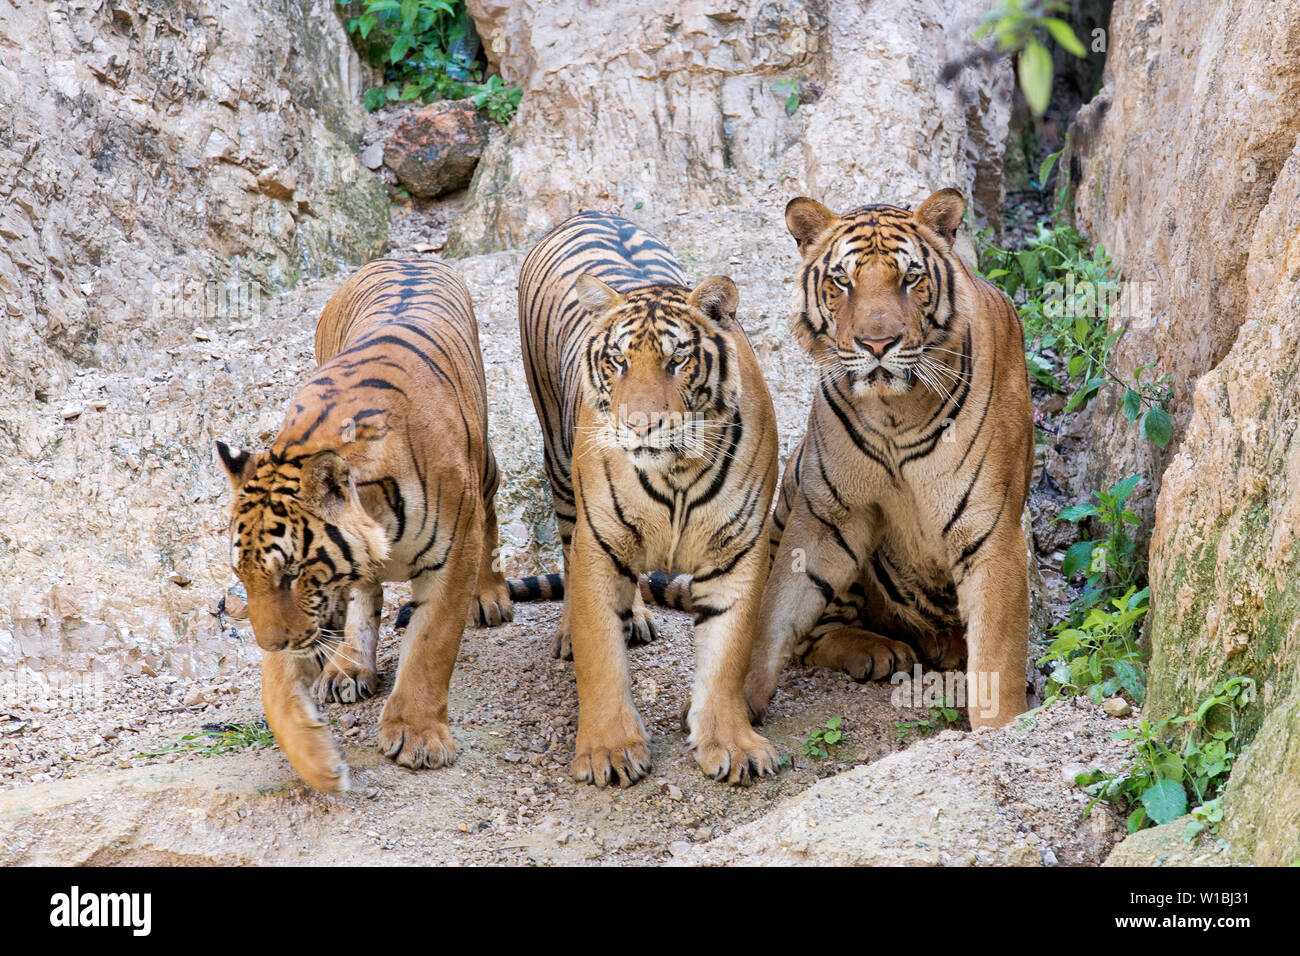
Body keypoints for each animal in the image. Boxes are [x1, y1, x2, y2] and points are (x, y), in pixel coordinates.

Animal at [216, 256, 513, 791]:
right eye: (242, 576)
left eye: (293, 573)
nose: (270, 642)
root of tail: (406, 255)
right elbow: (277, 690)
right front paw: (318, 761)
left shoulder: (455, 552)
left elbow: (431, 644)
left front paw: (417, 735)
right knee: (363, 597)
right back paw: (347, 667)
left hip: (483, 466)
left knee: (491, 513)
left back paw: (490, 597)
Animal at [518, 210, 780, 787]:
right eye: (617, 361)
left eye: (677, 359)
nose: (639, 425)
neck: (677, 470)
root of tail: (587, 211)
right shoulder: (598, 542)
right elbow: (600, 654)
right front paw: (609, 751)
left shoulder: (738, 549)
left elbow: (727, 655)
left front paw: (732, 744)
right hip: (559, 468)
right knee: (568, 554)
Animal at [743, 189, 1034, 730]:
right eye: (842, 281)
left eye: (910, 278)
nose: (878, 344)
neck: (894, 411)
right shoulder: (826, 519)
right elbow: (776, 610)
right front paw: (733, 702)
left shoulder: (989, 530)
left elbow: (998, 652)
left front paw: (1001, 730)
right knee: (816, 636)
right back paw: (878, 651)